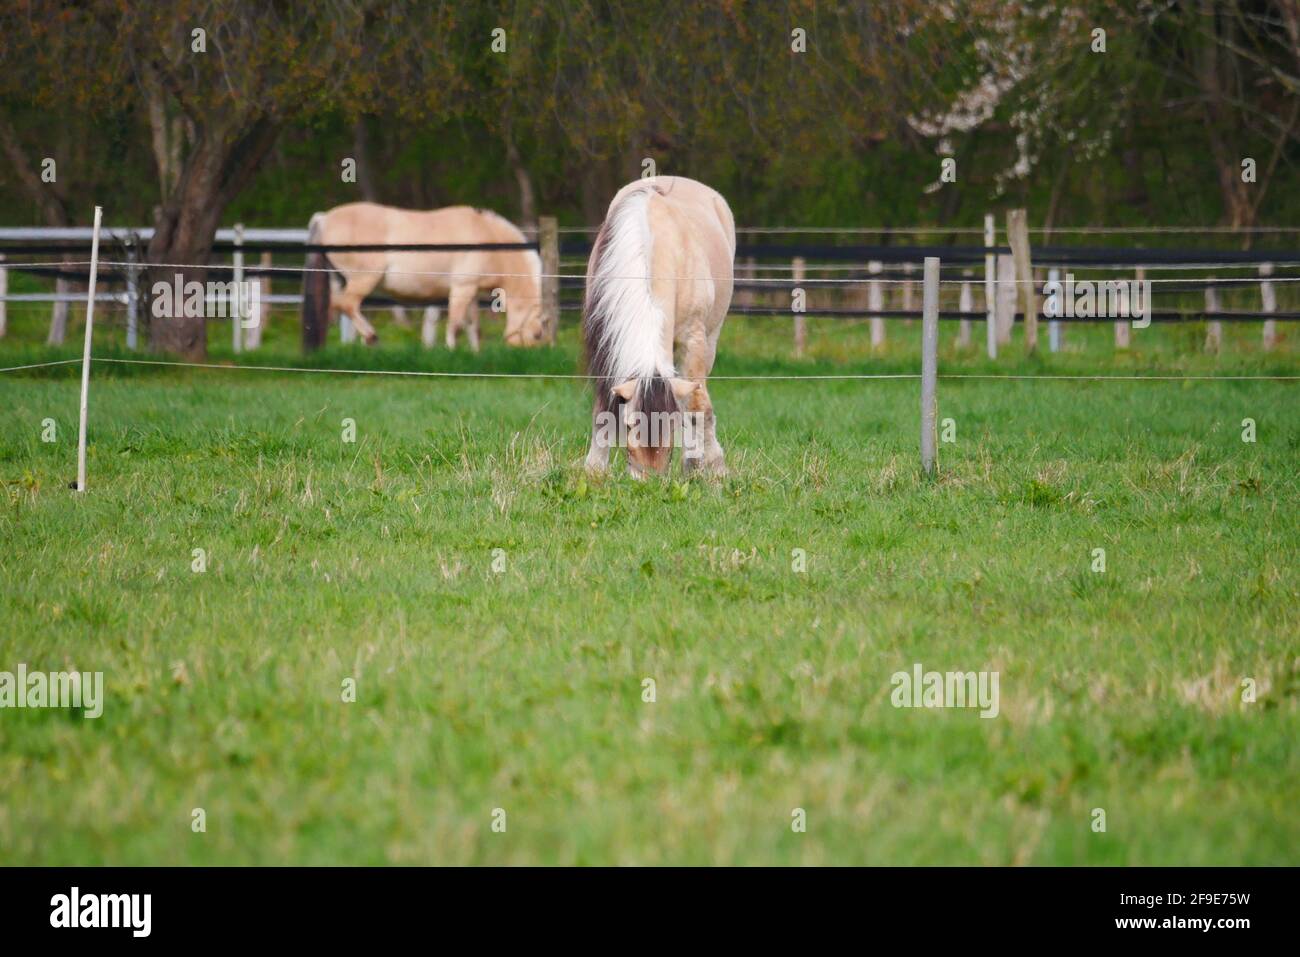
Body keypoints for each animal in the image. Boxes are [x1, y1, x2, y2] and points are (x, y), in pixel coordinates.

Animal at [300, 203, 547, 350]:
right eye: (537, 335)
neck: (487, 238)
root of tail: (324, 218)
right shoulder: (462, 288)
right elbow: (456, 325)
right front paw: (452, 351)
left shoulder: (471, 292)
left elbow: (472, 327)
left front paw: (475, 354)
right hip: (363, 280)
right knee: (347, 305)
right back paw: (371, 337)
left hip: (339, 279)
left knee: (335, 307)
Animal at [582, 176, 735, 477]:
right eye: (629, 425)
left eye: (672, 425)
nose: (648, 481)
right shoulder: (603, 341)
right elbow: (602, 407)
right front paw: (594, 470)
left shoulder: (693, 340)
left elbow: (698, 406)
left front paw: (712, 467)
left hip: (710, 339)